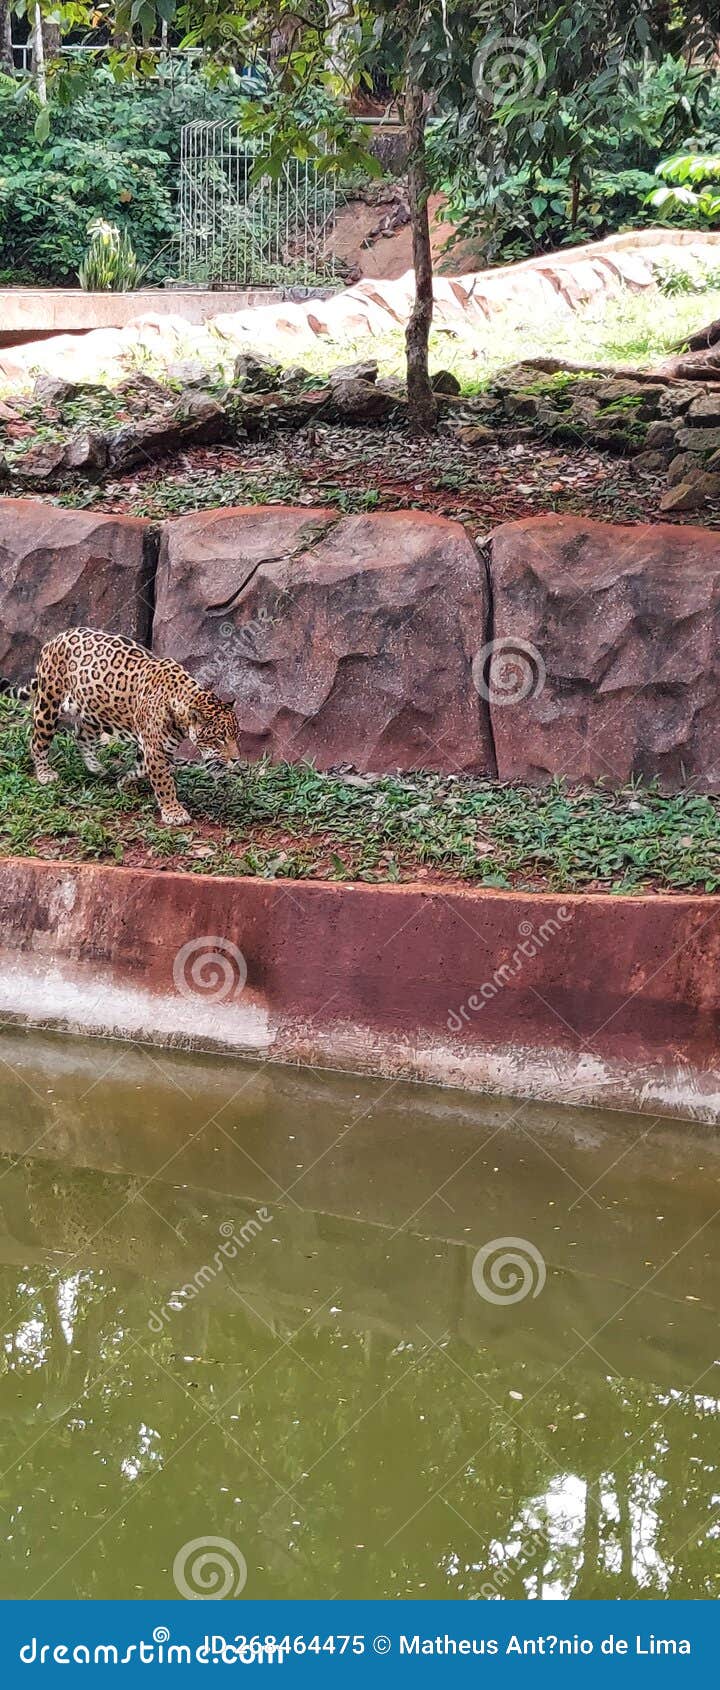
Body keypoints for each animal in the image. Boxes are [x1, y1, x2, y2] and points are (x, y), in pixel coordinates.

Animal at [17, 627, 240, 826]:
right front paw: (174, 812)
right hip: (49, 704)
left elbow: (143, 770)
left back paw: (96, 767)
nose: (236, 759)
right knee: (37, 741)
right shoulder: (155, 749)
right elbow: (164, 782)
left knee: (81, 736)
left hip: (94, 709)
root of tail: (55, 638)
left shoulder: (153, 747)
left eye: (236, 736)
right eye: (219, 739)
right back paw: (45, 773)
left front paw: (124, 782)